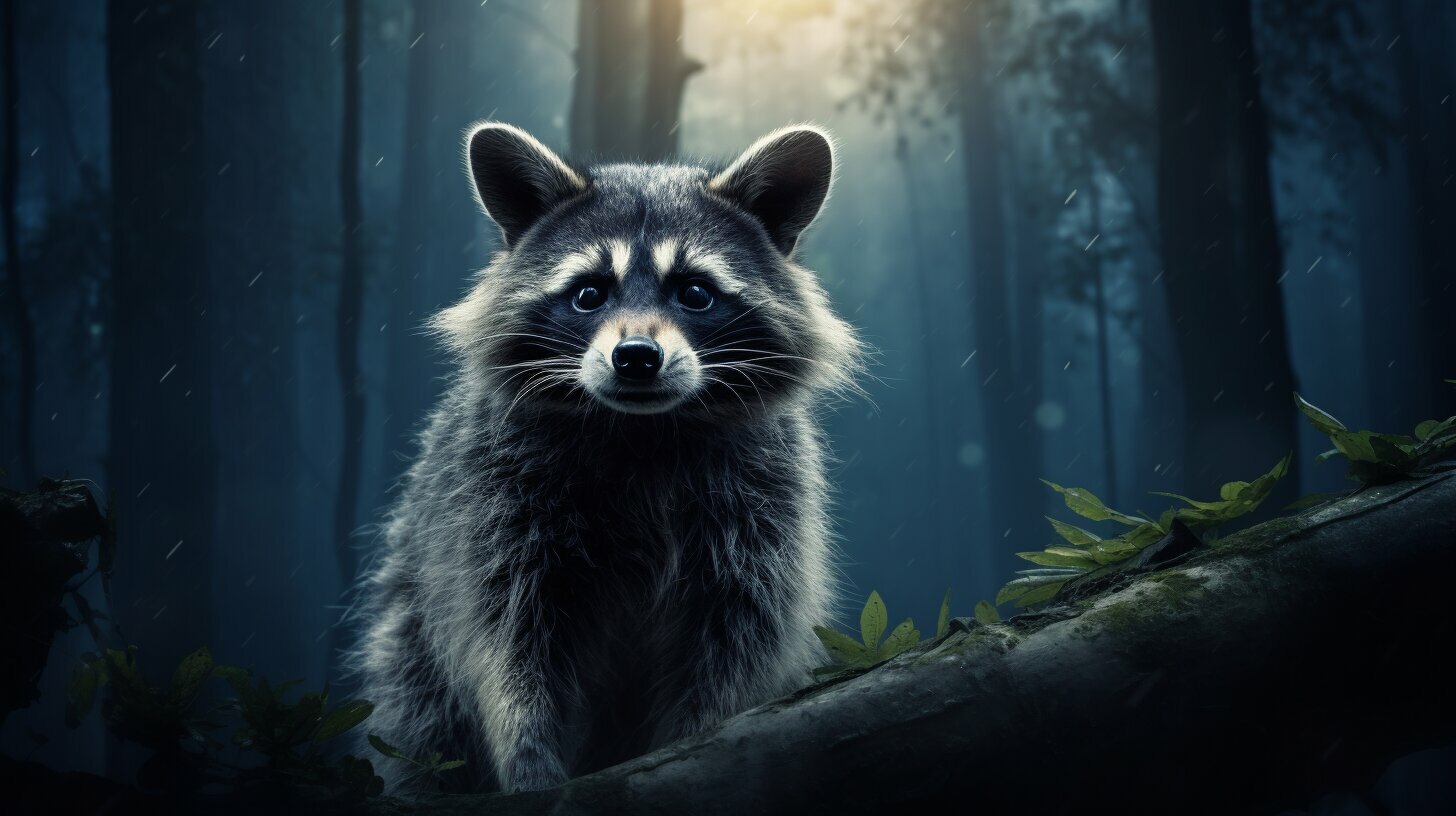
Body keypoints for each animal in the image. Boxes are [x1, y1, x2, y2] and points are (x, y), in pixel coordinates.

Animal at [352, 123, 864, 793]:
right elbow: (505, 638)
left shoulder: (764, 510)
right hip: (407, 644)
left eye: (695, 293)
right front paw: (527, 752)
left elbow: (740, 641)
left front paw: (699, 739)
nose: (637, 357)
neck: (641, 431)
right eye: (589, 293)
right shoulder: (491, 501)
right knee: (421, 717)